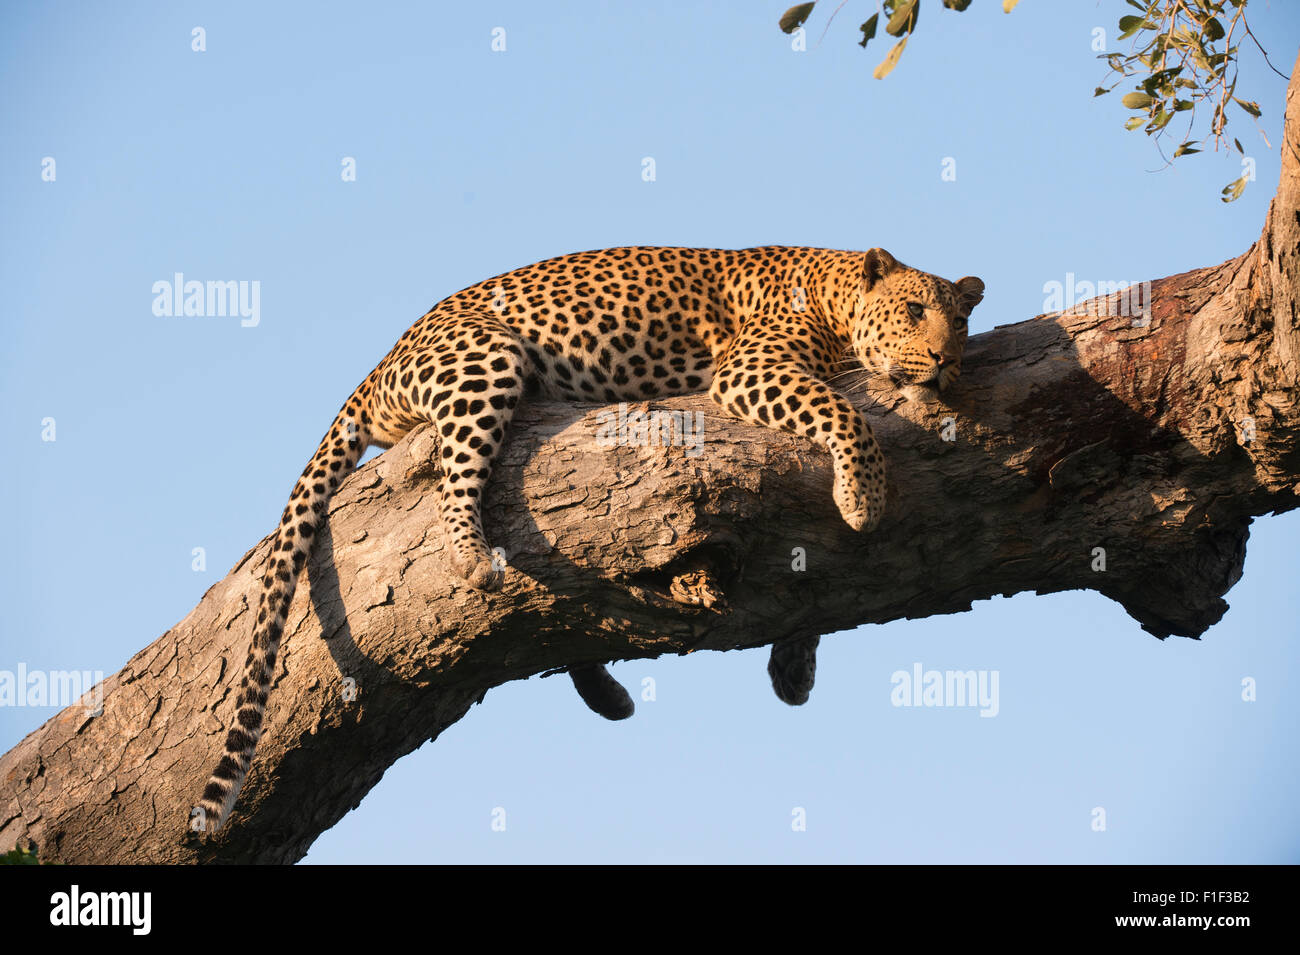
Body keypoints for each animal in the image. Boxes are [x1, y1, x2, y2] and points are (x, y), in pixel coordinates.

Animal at [196, 245, 983, 833]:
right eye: (915, 311)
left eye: (960, 323)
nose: (947, 360)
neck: (835, 289)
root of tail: (381, 362)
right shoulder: (752, 366)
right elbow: (839, 411)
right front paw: (863, 495)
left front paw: (796, 662)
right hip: (484, 361)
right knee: (454, 470)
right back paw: (471, 557)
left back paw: (604, 689)